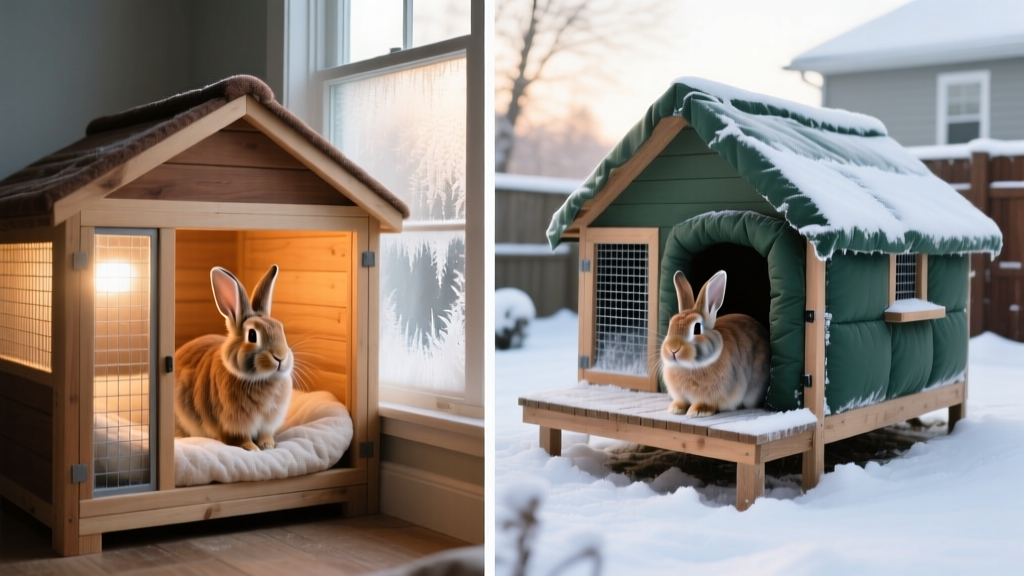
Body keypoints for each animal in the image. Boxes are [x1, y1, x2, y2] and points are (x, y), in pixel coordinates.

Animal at [174, 264, 294, 451]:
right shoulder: (232, 424)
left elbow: (265, 435)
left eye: (281, 330)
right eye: (252, 335)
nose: (280, 357)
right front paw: (251, 448)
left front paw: (267, 445)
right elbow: (239, 438)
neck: (262, 379)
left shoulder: (267, 424)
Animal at [659, 269, 770, 417]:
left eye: (697, 328)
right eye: (670, 326)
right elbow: (681, 402)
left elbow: (707, 403)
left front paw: (698, 411)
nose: (673, 349)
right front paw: (676, 409)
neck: (690, 366)